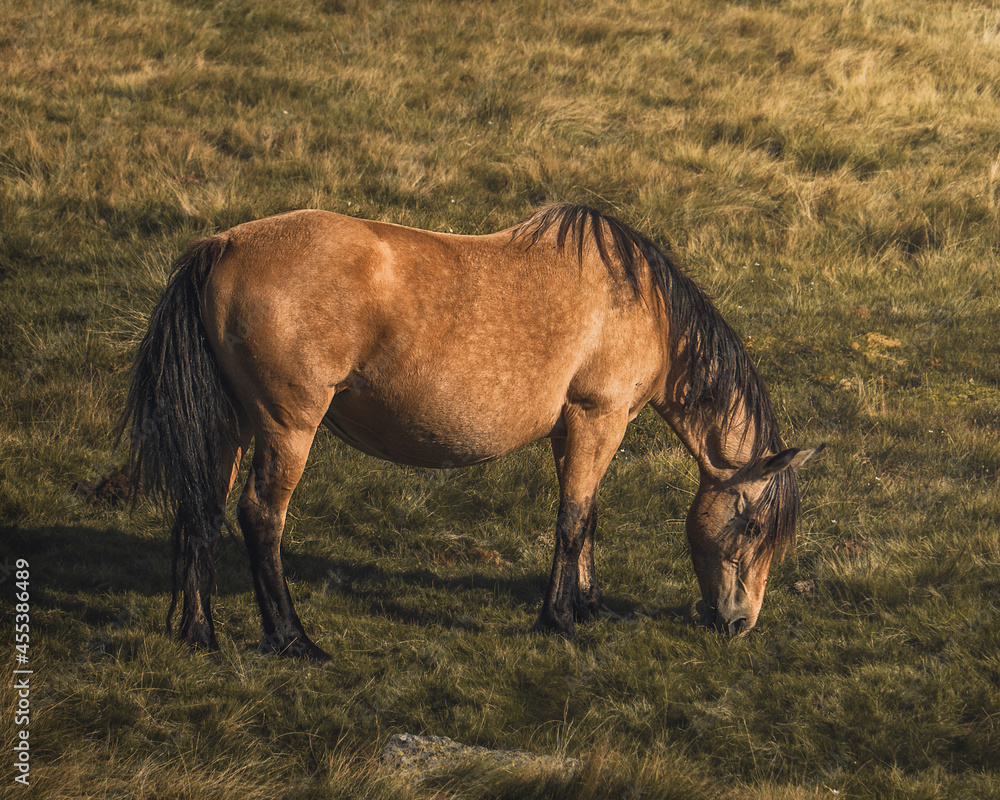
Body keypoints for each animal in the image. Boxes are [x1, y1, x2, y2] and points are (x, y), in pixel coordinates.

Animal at [121, 203, 822, 662]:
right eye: (752, 528)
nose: (739, 622)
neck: (638, 304)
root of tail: (222, 246)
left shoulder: (579, 428)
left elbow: (587, 514)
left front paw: (588, 605)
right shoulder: (596, 417)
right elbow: (572, 521)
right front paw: (559, 621)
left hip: (232, 427)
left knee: (202, 511)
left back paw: (200, 633)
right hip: (287, 427)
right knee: (261, 518)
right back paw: (293, 638)